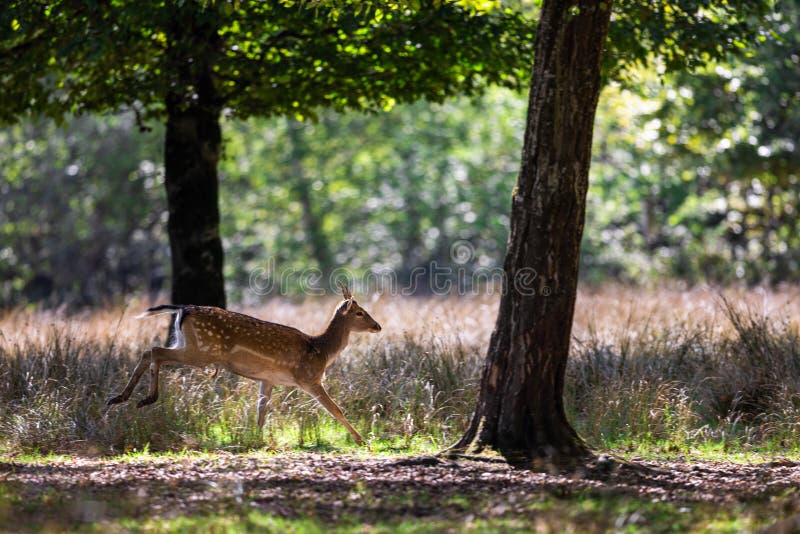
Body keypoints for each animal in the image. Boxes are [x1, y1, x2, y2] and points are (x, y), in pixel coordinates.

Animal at [107, 283, 380, 445]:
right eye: (360, 313)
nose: (378, 326)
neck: (321, 350)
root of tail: (183, 308)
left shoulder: (267, 379)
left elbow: (261, 412)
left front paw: (257, 440)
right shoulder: (309, 379)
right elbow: (336, 409)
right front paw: (362, 440)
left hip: (187, 344)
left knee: (148, 351)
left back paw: (119, 398)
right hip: (202, 351)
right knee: (155, 351)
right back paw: (146, 398)